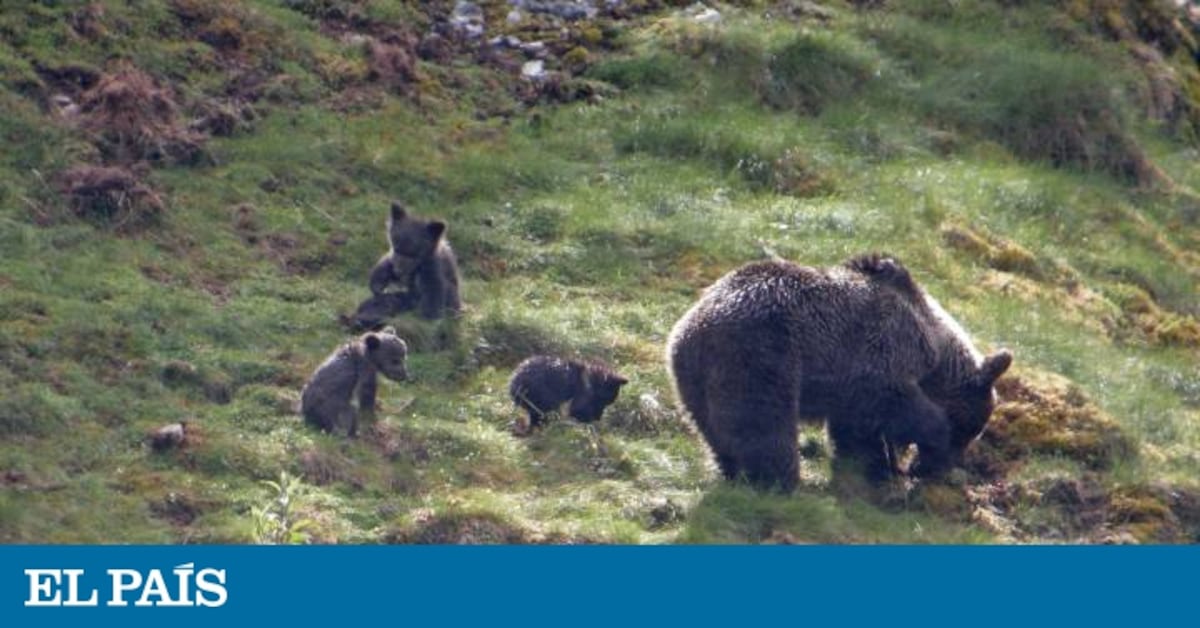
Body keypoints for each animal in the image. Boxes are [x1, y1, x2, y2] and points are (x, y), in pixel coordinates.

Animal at [665, 253, 1012, 491]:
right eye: (967, 430)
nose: (930, 469)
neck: (934, 346)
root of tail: (696, 326)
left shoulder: (849, 384)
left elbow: (856, 428)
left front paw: (870, 466)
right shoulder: (881, 350)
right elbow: (894, 402)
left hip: (692, 376)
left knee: (713, 427)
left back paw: (732, 468)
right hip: (761, 355)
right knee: (763, 422)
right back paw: (778, 480)